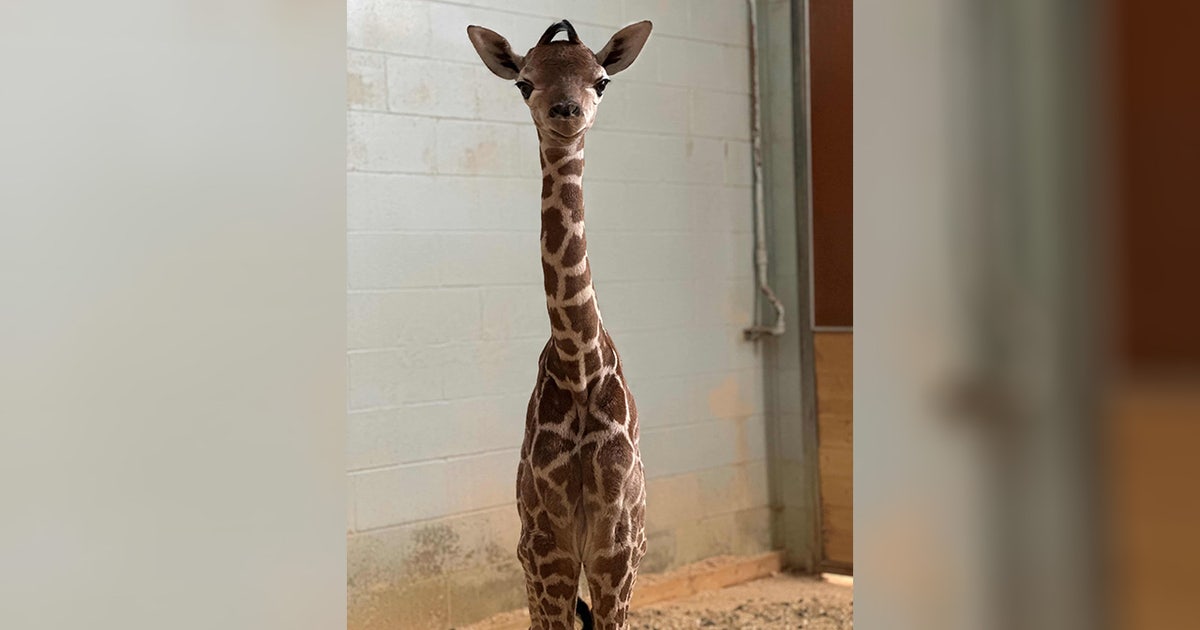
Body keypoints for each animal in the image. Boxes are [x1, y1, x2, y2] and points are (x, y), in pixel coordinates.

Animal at [467, 18, 654, 630]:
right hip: (529, 555)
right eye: (524, 82)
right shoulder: (548, 546)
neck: (579, 368)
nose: (567, 110)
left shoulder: (618, 549)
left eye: (601, 80)